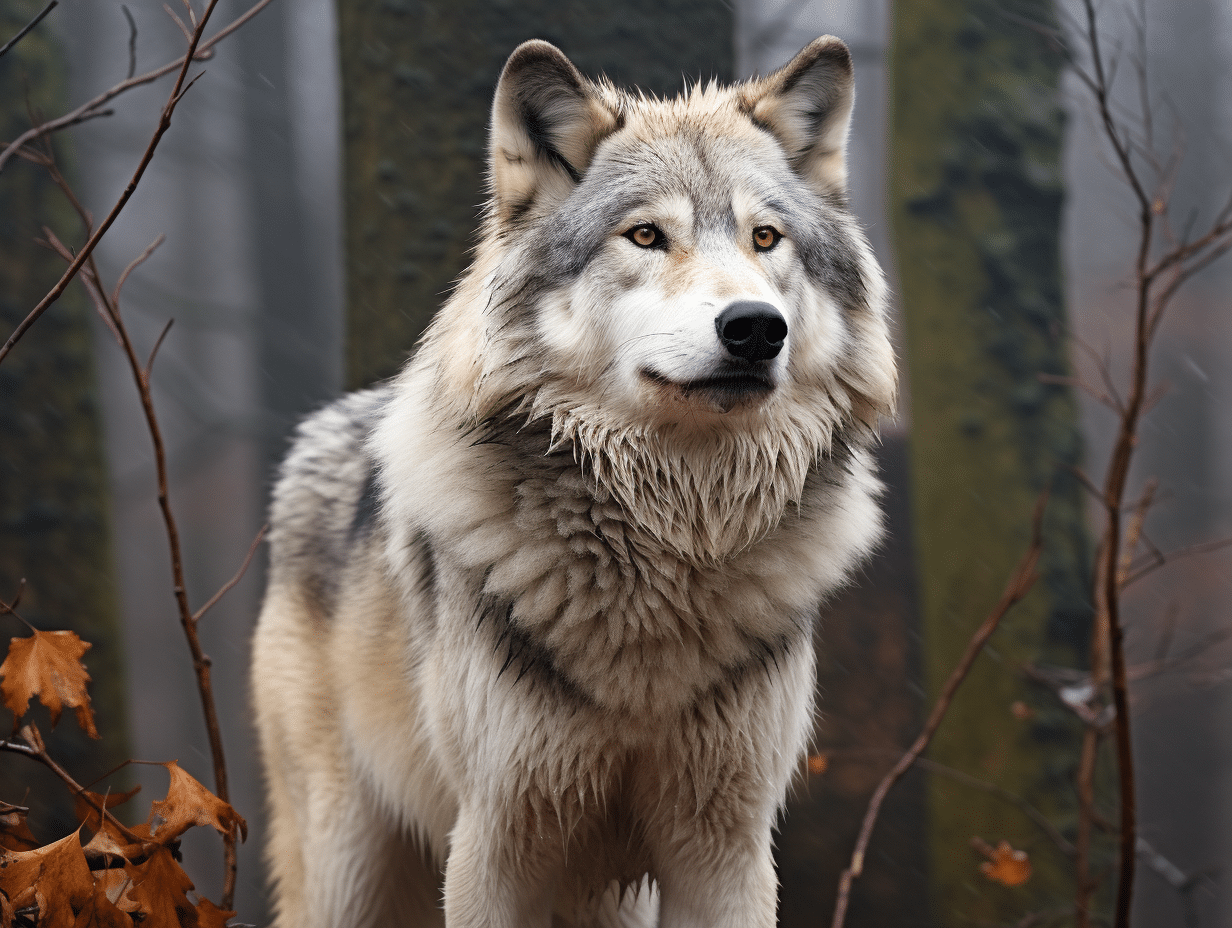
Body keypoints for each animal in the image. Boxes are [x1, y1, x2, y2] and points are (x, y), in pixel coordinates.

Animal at [252, 34, 896, 928]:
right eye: (646, 235)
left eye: (766, 238)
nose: (756, 328)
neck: (672, 545)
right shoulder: (498, 841)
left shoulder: (724, 849)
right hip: (348, 865)